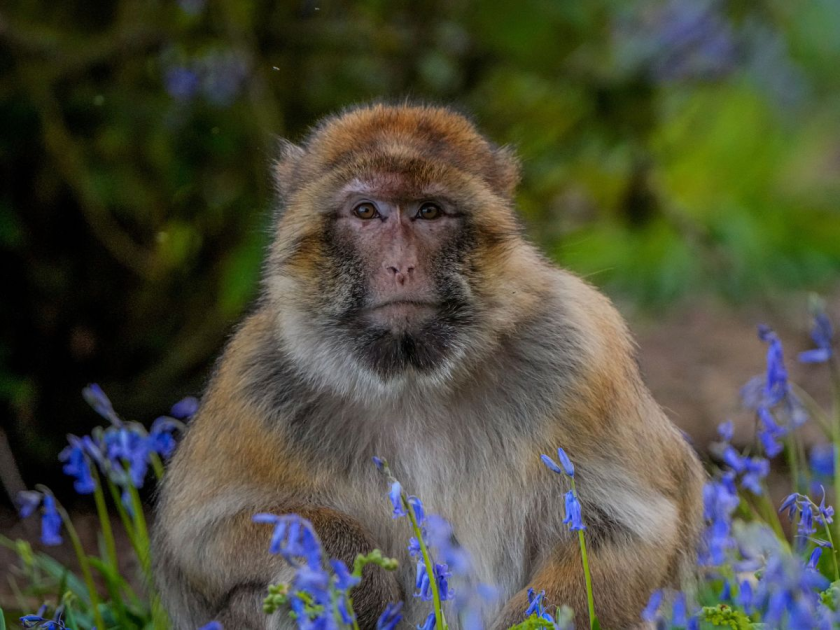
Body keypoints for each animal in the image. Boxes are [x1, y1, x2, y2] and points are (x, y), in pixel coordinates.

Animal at [152, 103, 706, 630]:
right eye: (367, 211)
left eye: (428, 211)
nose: (401, 265)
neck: (412, 380)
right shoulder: (255, 374)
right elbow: (199, 539)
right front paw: (355, 572)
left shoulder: (580, 350)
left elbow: (631, 526)